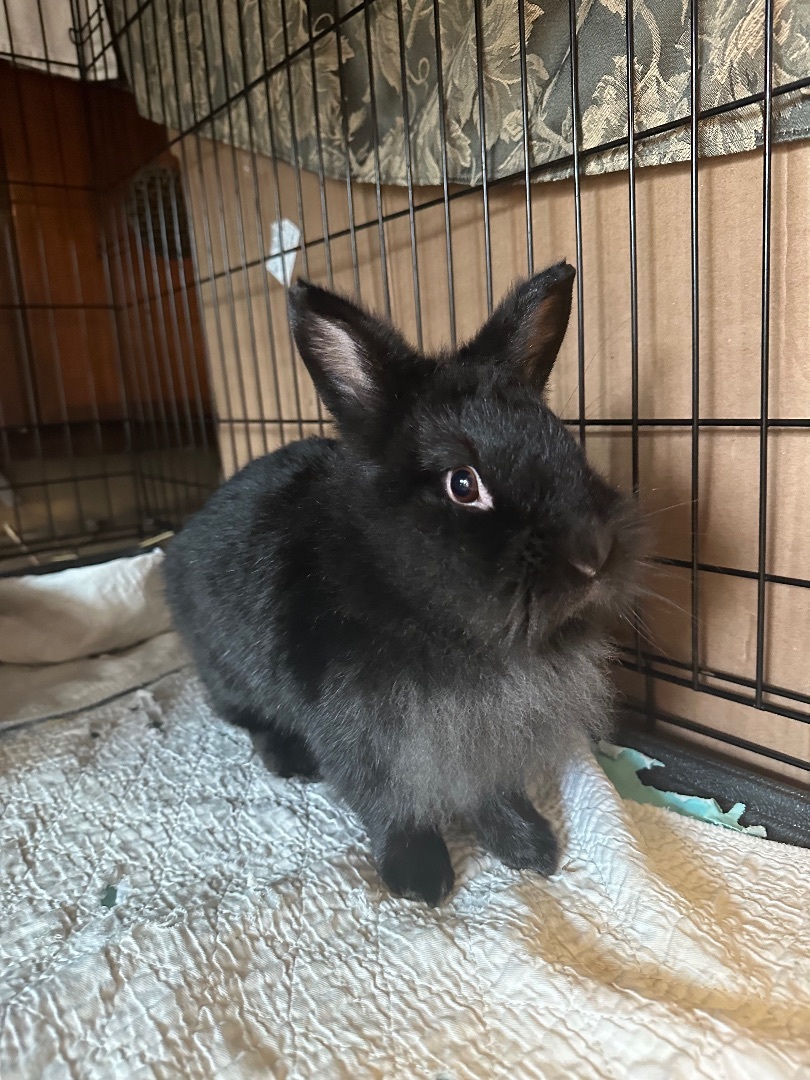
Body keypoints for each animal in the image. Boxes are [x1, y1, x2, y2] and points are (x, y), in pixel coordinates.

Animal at [163, 260, 645, 906]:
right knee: (243, 716)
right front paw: (419, 877)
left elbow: (491, 791)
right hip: (227, 670)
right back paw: (290, 759)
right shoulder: (364, 737)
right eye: (462, 484)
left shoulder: (485, 739)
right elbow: (390, 803)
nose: (593, 556)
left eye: (567, 445)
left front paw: (530, 846)